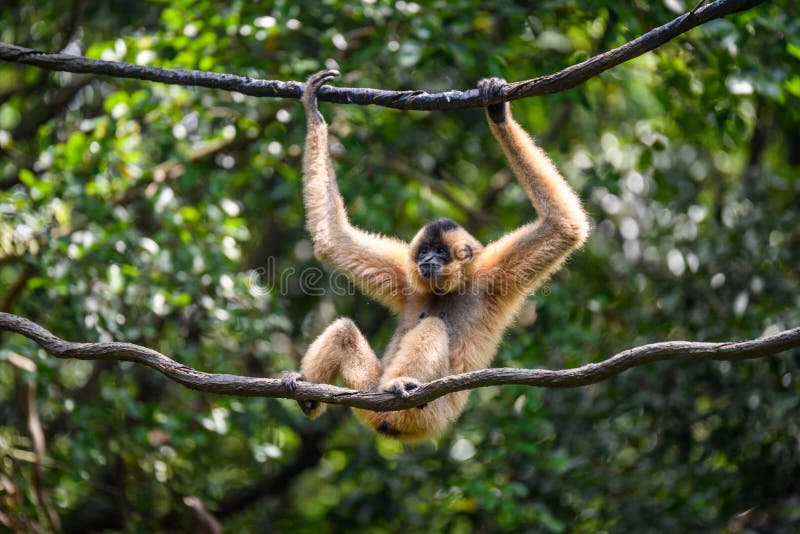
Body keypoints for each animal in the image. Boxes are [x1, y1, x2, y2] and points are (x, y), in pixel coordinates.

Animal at [282, 70, 590, 442]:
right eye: (426, 251)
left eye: (441, 252)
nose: (428, 261)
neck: (452, 288)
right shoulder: (404, 276)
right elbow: (332, 238)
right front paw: (315, 112)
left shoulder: (493, 278)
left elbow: (564, 226)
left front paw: (497, 111)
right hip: (368, 393)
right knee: (345, 331)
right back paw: (310, 397)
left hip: (429, 413)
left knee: (432, 326)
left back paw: (398, 385)